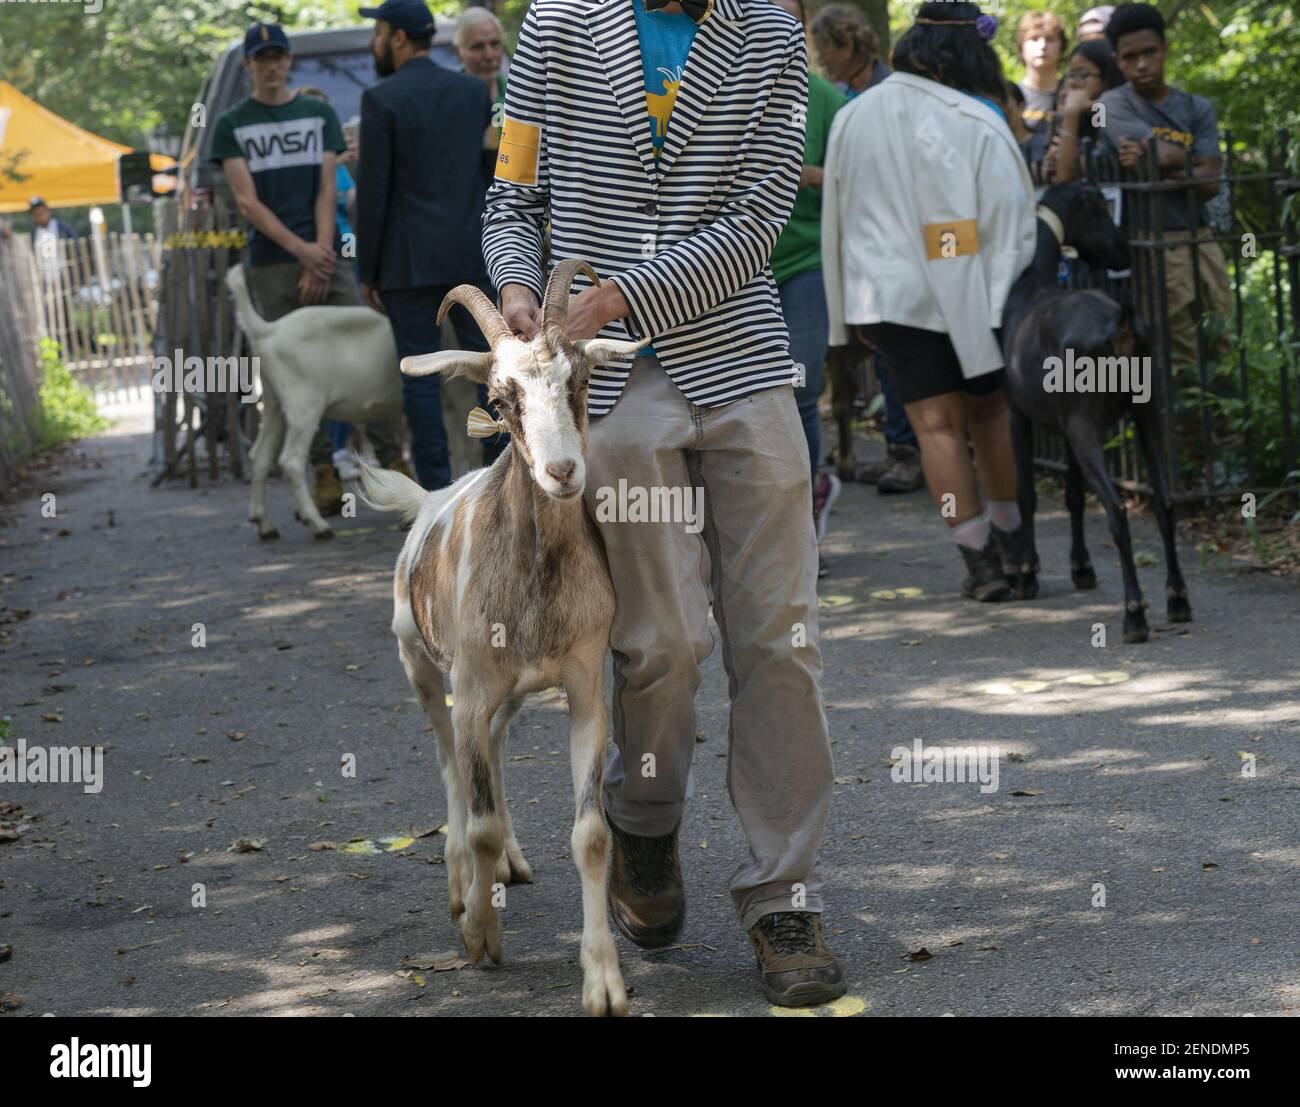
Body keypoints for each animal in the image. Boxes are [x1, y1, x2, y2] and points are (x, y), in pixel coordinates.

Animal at [225, 264, 402, 541]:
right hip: (304, 404)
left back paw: (264, 524)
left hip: (275, 404)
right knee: (291, 461)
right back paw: (318, 524)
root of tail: (269, 330)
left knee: (260, 456)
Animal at [356, 259, 647, 1016]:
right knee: (452, 765)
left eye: (580, 379)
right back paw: (464, 878)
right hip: (424, 668)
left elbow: (592, 834)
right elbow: (477, 810)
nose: (562, 472)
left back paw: (509, 862)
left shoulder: (584, 686)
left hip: (509, 692)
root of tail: (430, 498)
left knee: (494, 748)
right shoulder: (473, 683)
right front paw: (479, 932)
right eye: (500, 394)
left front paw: (603, 980)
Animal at [1002, 180, 1191, 643]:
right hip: (1144, 414)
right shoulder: (1066, 425)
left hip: (1088, 425)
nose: (1123, 251)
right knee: (1163, 500)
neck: (1032, 284)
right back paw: (1177, 599)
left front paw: (1028, 574)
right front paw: (1082, 567)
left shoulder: (1018, 410)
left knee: (1117, 509)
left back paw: (1134, 615)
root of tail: (1121, 324)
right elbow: (1071, 494)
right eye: (1101, 212)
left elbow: (1027, 493)